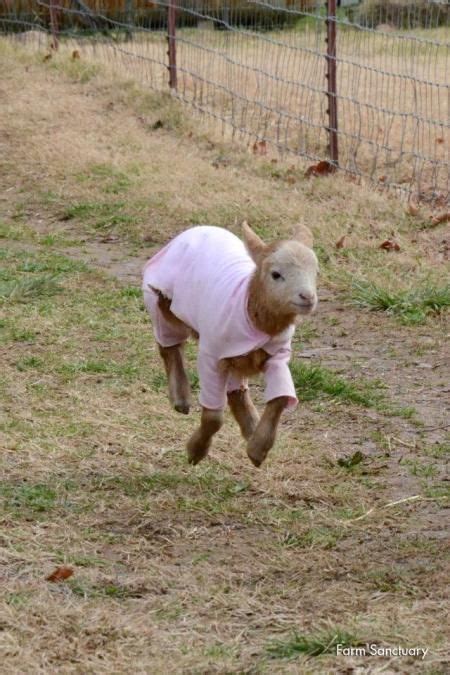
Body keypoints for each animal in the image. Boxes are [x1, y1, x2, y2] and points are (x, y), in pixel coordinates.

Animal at [142, 222, 318, 466]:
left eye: (315, 272)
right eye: (276, 274)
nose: (307, 297)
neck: (251, 310)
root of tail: (197, 229)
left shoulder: (277, 356)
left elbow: (280, 398)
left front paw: (258, 449)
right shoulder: (211, 355)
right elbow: (214, 416)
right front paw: (195, 451)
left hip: (236, 356)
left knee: (237, 389)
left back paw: (251, 426)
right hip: (160, 303)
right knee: (169, 347)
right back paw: (181, 398)